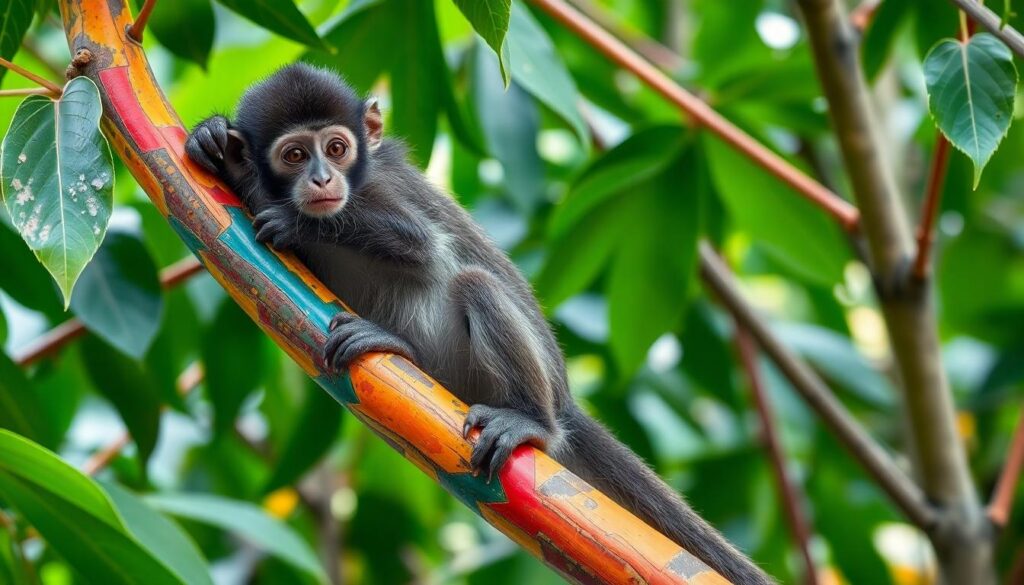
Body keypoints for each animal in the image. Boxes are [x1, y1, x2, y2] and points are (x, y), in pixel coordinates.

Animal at [185, 63, 774, 585]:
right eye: (293, 155)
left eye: (335, 148)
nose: (322, 179)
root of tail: (563, 397)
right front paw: (216, 144)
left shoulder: (381, 189)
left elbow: (419, 243)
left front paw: (290, 218)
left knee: (475, 284)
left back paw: (527, 419)